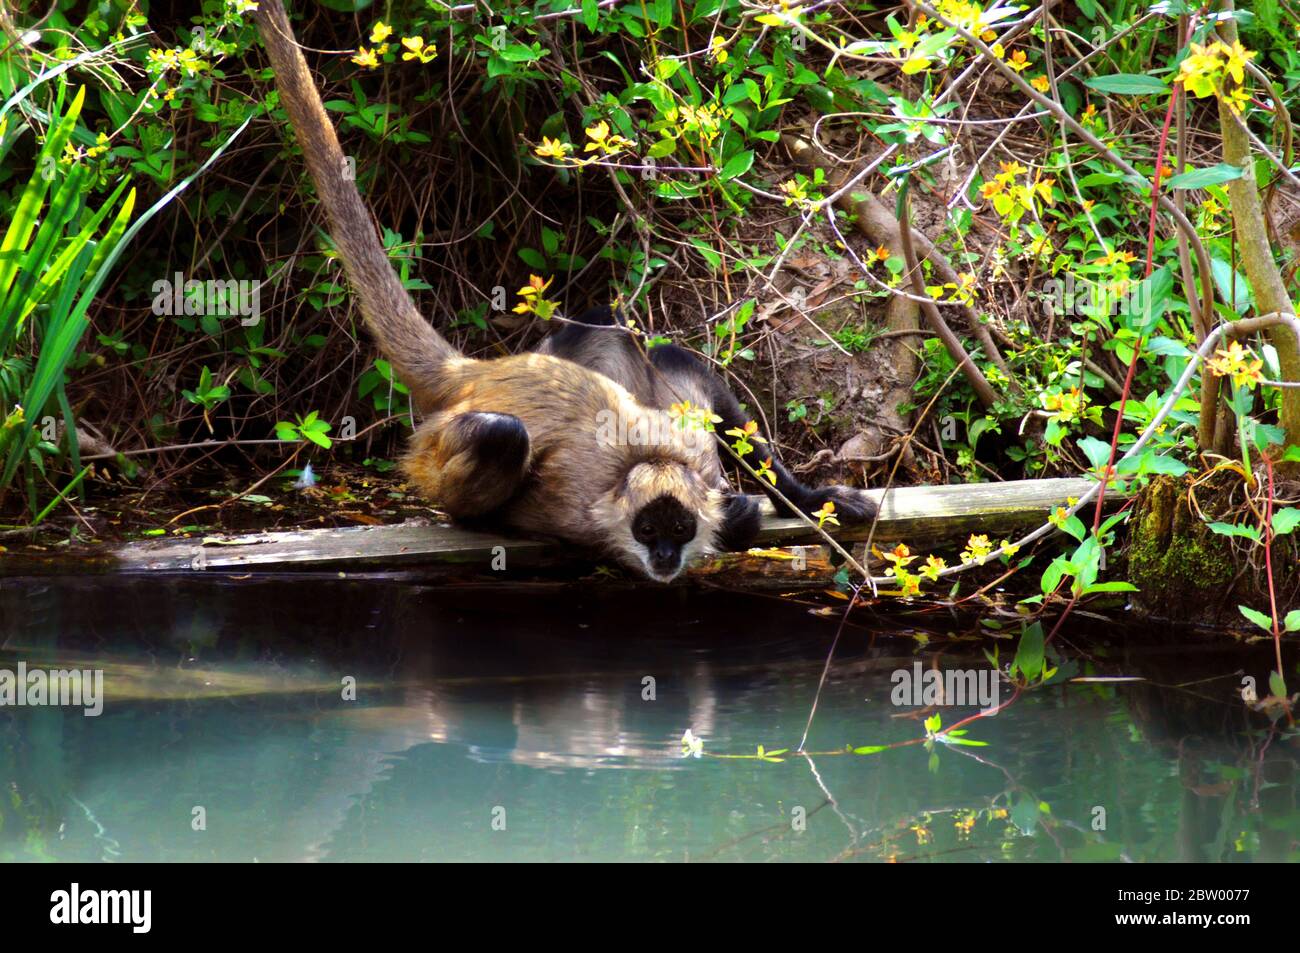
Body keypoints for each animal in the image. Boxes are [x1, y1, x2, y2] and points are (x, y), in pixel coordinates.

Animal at [251, 0, 874, 582]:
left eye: (678, 529)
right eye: (649, 531)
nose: (666, 556)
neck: (643, 463)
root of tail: (477, 372)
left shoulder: (692, 444)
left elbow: (692, 380)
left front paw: (807, 498)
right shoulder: (577, 511)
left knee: (618, 328)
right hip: (436, 449)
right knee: (502, 433)